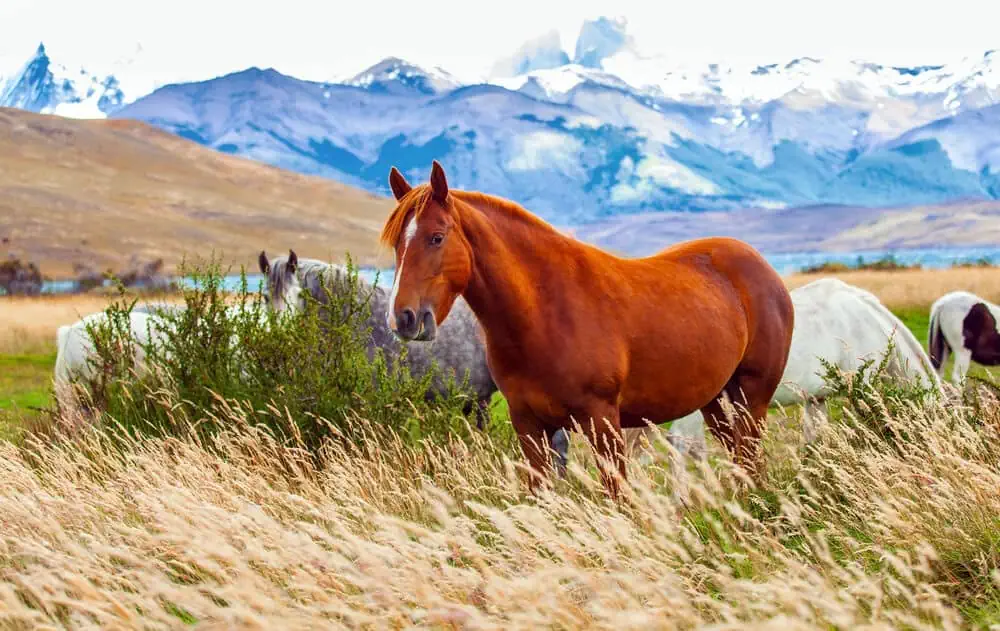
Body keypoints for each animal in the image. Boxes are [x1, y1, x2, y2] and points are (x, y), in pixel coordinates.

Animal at [379, 160, 795, 499]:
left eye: (436, 237)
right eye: (398, 243)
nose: (404, 318)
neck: (545, 314)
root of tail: (762, 268)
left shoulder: (603, 423)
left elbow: (617, 498)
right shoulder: (529, 426)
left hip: (753, 397)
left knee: (750, 456)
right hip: (716, 400)